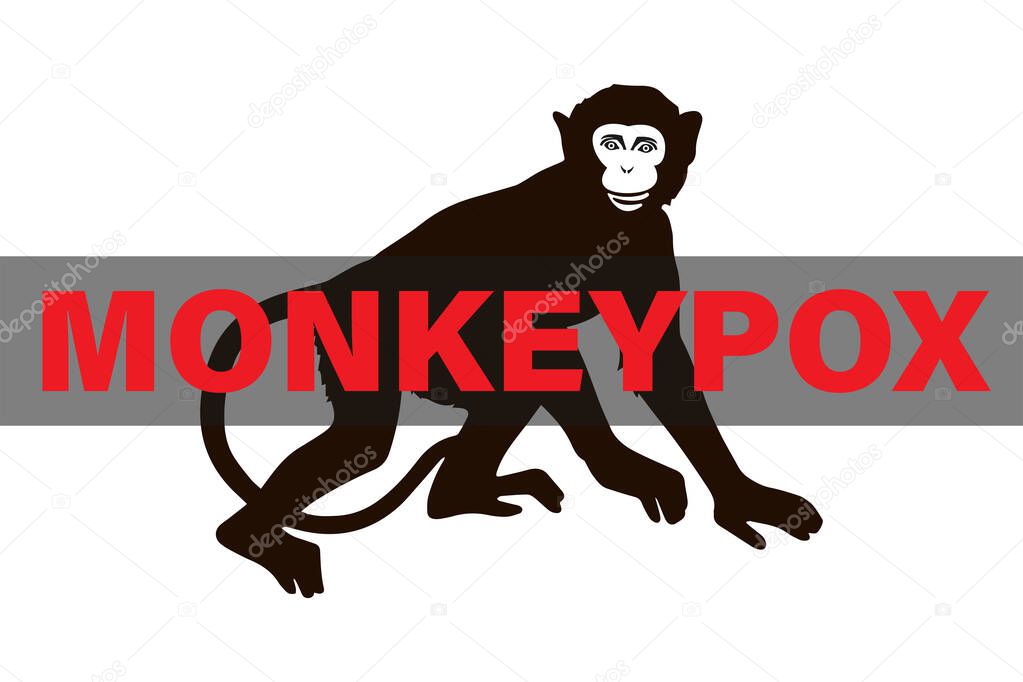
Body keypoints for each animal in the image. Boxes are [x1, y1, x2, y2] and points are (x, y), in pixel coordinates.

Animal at [201, 85, 822, 598]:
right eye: (611, 142)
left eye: (647, 145)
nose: (626, 166)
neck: (595, 209)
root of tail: (336, 286)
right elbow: (526, 338)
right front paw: (626, 468)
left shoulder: (650, 234)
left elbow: (652, 360)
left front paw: (739, 497)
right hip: (364, 337)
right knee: (369, 439)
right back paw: (251, 538)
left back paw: (459, 495)